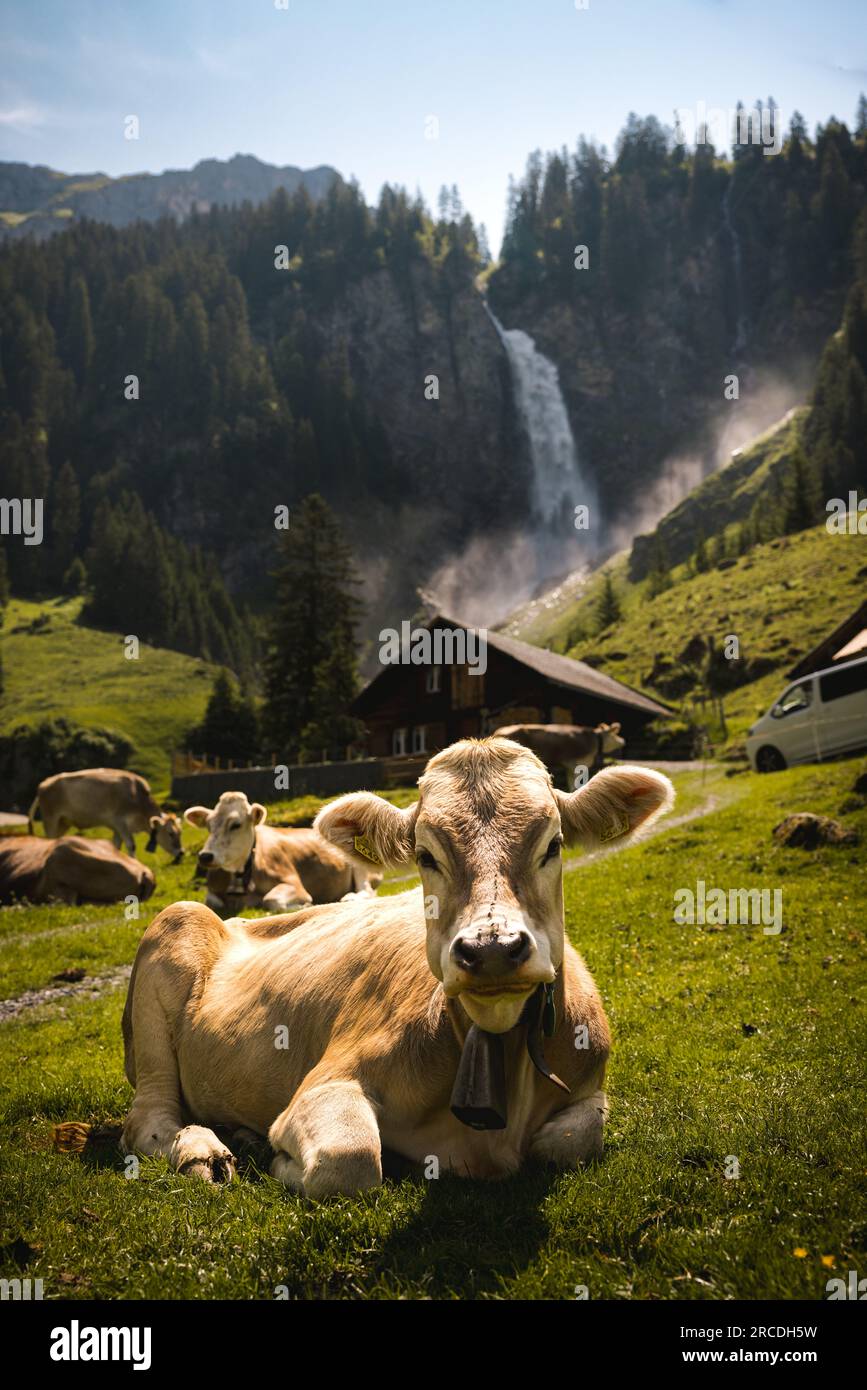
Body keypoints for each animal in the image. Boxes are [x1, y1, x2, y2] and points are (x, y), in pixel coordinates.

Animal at [29, 769, 183, 862]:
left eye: (180, 833)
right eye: (170, 833)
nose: (181, 853)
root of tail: (43, 784)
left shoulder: (117, 828)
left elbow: (116, 847)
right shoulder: (120, 822)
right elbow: (131, 845)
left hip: (63, 822)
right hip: (50, 819)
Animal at [183, 791, 381, 916]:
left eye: (236, 825)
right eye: (208, 825)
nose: (205, 856)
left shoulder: (293, 883)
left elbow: (271, 900)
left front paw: (305, 905)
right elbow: (211, 902)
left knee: (367, 890)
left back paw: (349, 898)